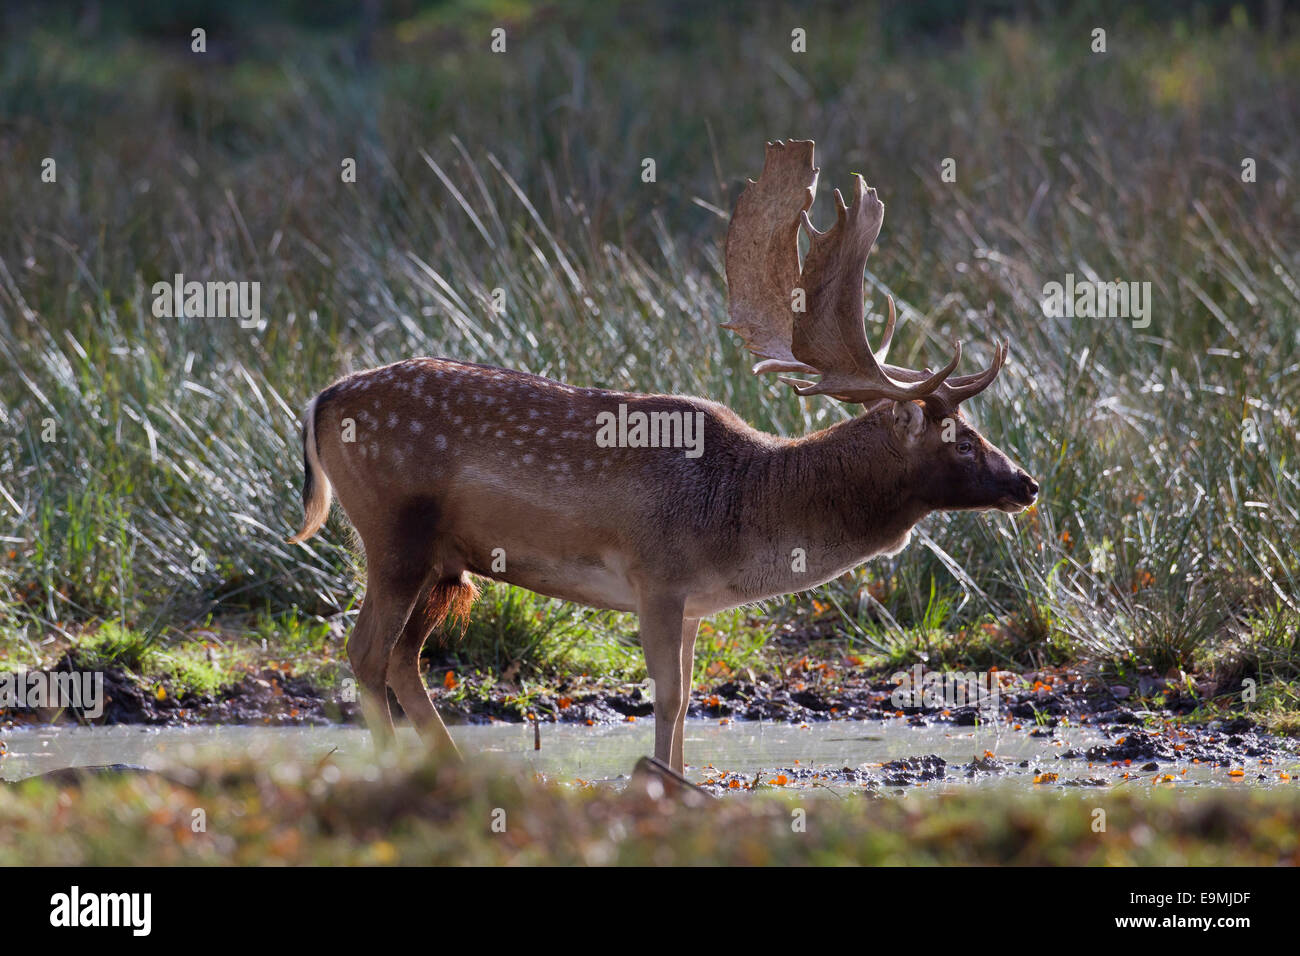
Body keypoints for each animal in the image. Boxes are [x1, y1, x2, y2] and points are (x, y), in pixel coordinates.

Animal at [288, 140, 1038, 775]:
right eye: (958, 435)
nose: (1027, 483)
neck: (749, 510)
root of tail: (320, 399)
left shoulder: (697, 602)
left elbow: (688, 695)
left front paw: (680, 778)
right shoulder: (659, 573)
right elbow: (669, 694)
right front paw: (658, 779)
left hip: (445, 561)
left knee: (401, 659)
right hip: (393, 532)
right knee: (365, 653)